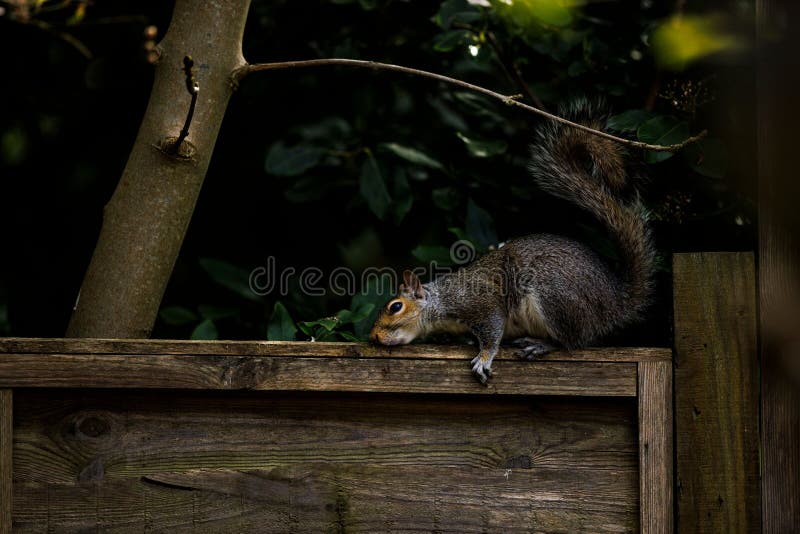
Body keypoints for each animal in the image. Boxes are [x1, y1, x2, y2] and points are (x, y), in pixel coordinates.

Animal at [369, 99, 655, 384]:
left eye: (395, 307)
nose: (373, 337)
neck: (440, 302)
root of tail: (615, 303)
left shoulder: (480, 302)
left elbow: (492, 332)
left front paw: (484, 358)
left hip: (553, 292)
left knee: (572, 342)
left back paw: (541, 345)